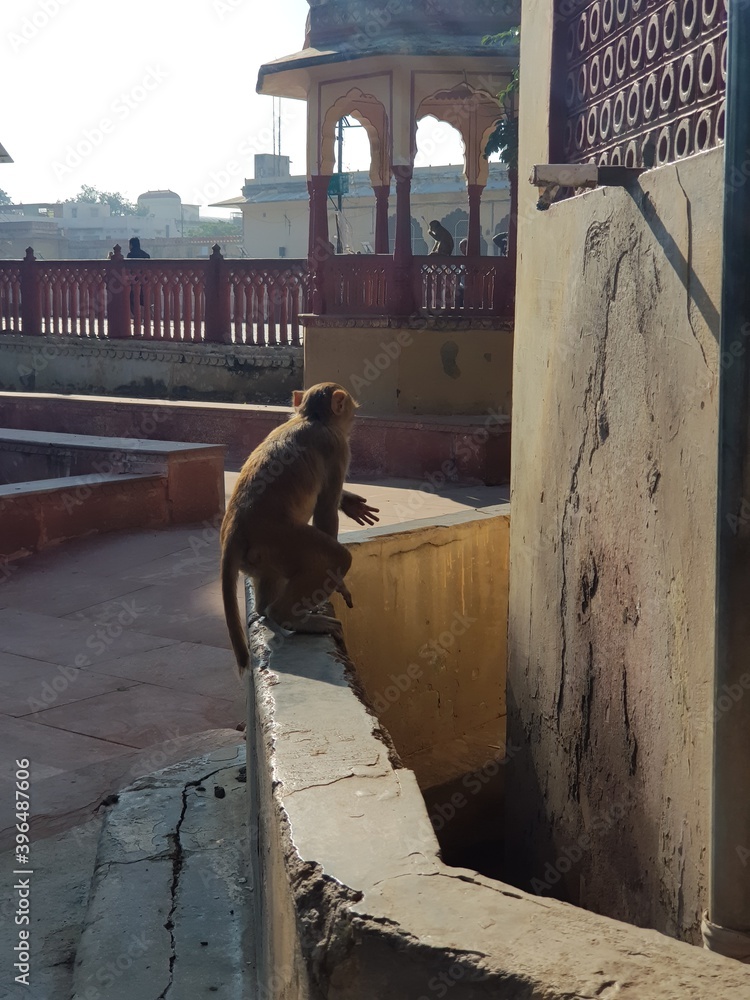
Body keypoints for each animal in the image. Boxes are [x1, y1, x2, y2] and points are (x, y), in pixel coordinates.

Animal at [220, 382, 378, 674]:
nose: (353, 419)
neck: (310, 418)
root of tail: (233, 533)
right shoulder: (337, 447)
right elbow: (326, 509)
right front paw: (340, 586)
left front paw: (350, 502)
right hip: (282, 541)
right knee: (336, 556)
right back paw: (286, 616)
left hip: (260, 557)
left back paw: (266, 610)